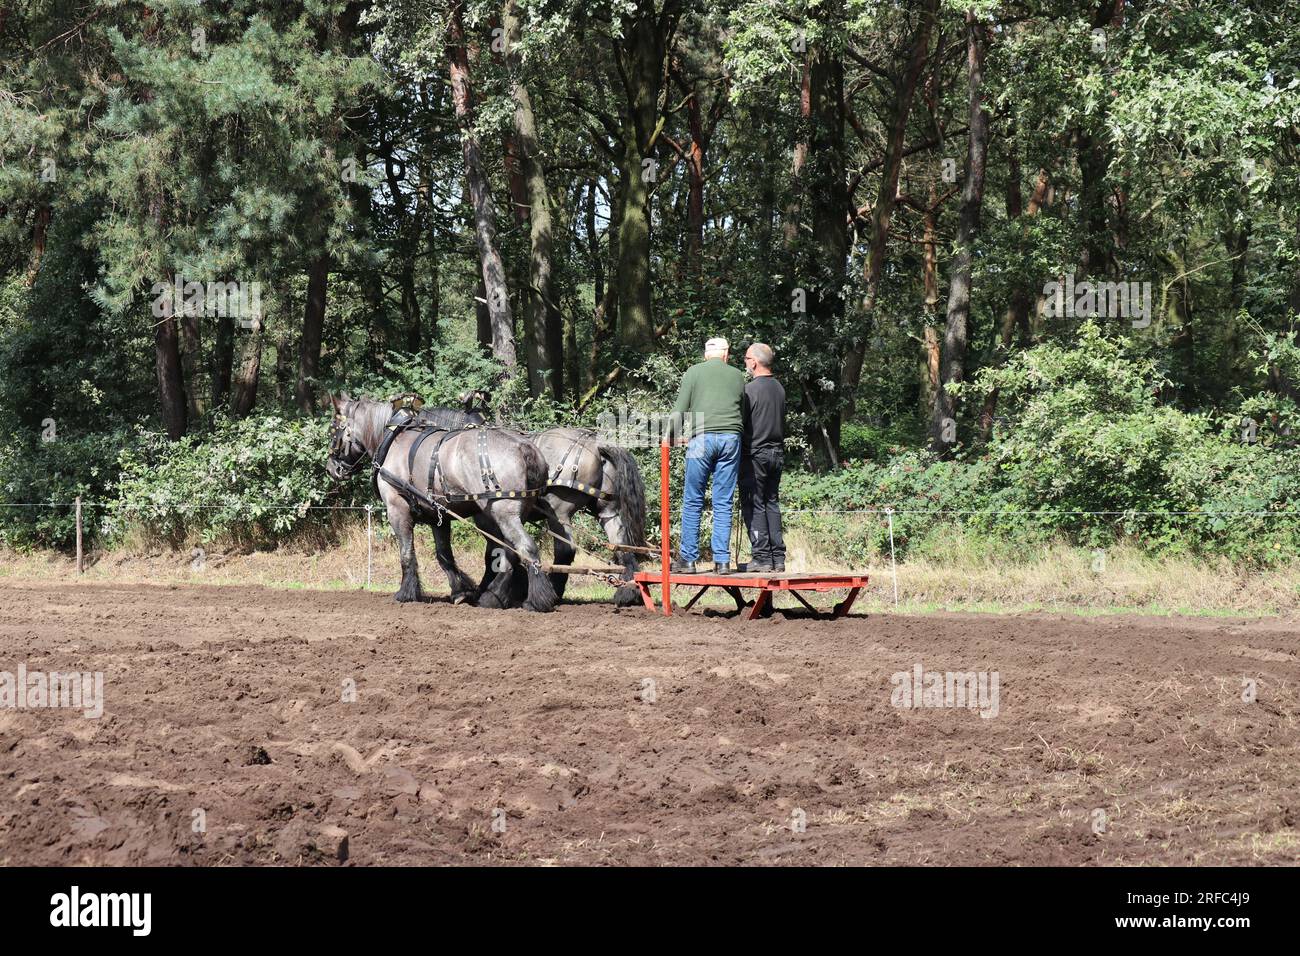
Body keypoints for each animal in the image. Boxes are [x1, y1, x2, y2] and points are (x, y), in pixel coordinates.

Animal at [325, 395, 557, 612]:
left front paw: (406, 593)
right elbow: (444, 554)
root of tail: (524, 446)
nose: (331, 469)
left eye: (333, 429)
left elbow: (406, 553)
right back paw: (494, 596)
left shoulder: (397, 509)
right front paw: (460, 592)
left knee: (524, 548)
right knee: (509, 551)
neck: (392, 438)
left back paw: (535, 600)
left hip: (500, 512)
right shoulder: (438, 516)